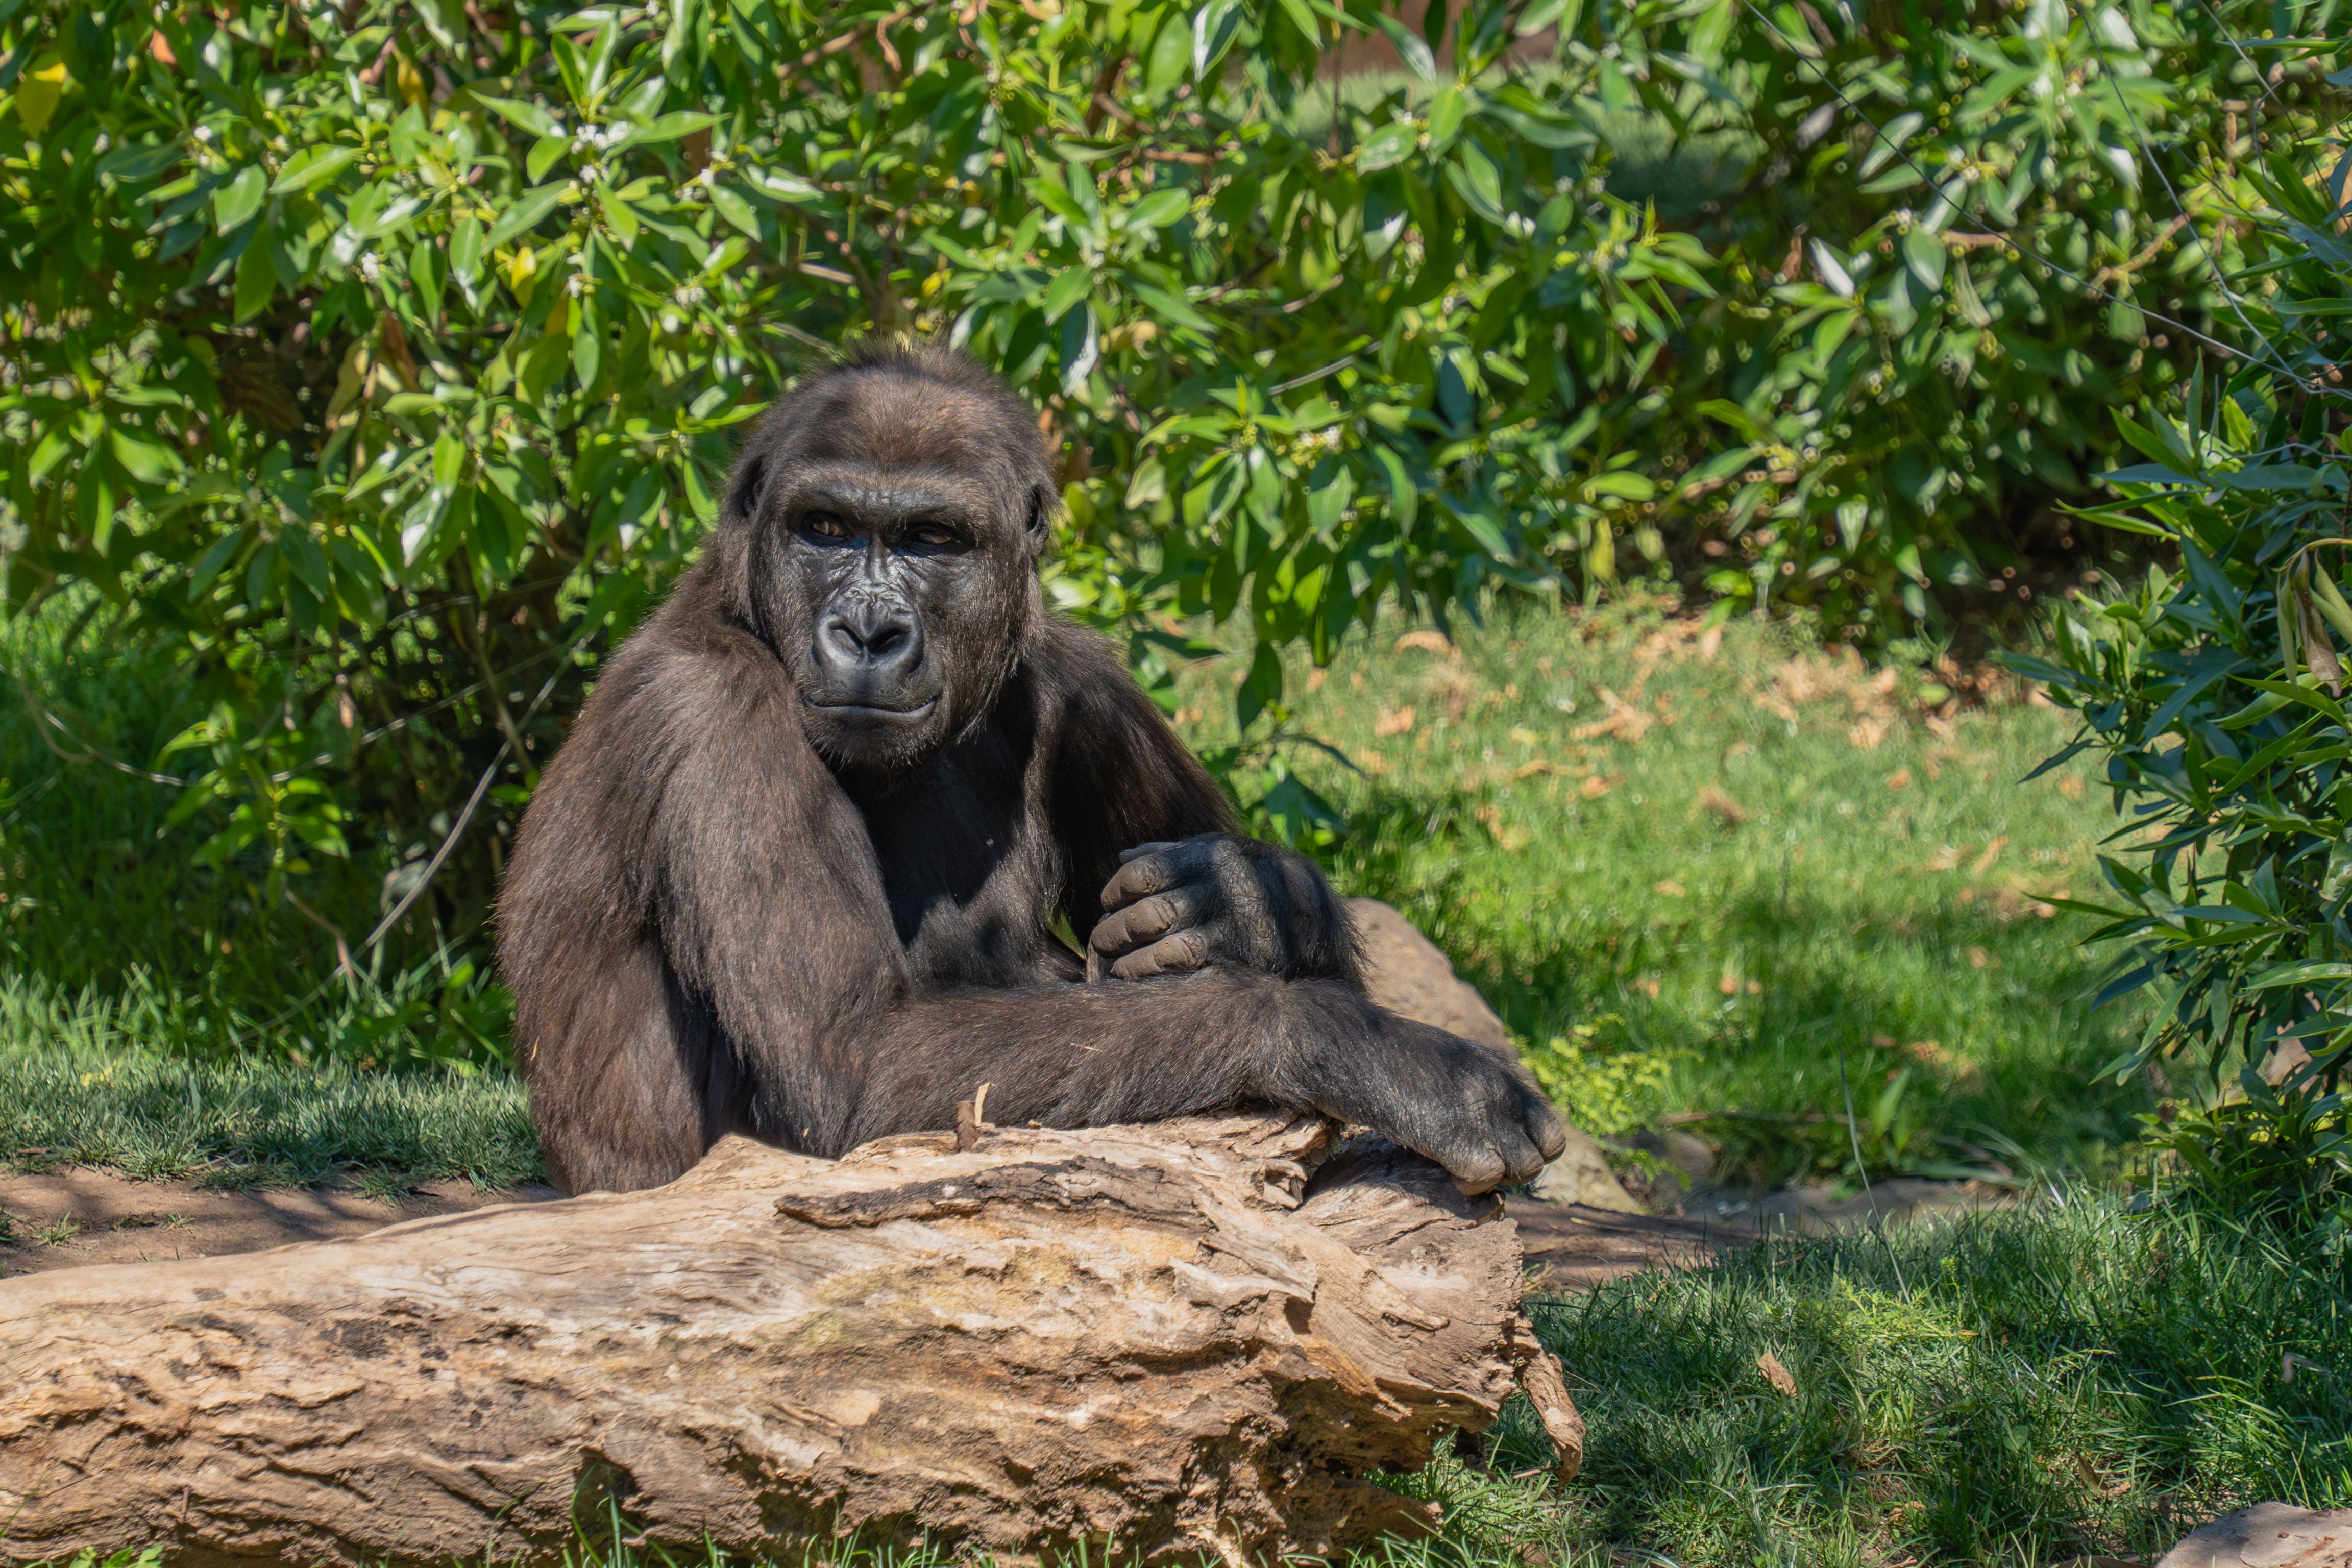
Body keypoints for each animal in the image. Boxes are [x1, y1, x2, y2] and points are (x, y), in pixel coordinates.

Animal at [497, 341, 1564, 1196]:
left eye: (932, 539)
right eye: (826, 528)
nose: (869, 632)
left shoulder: (1085, 682)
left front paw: (1249, 900)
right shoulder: (714, 714)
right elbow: (856, 1061)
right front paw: (1364, 1050)